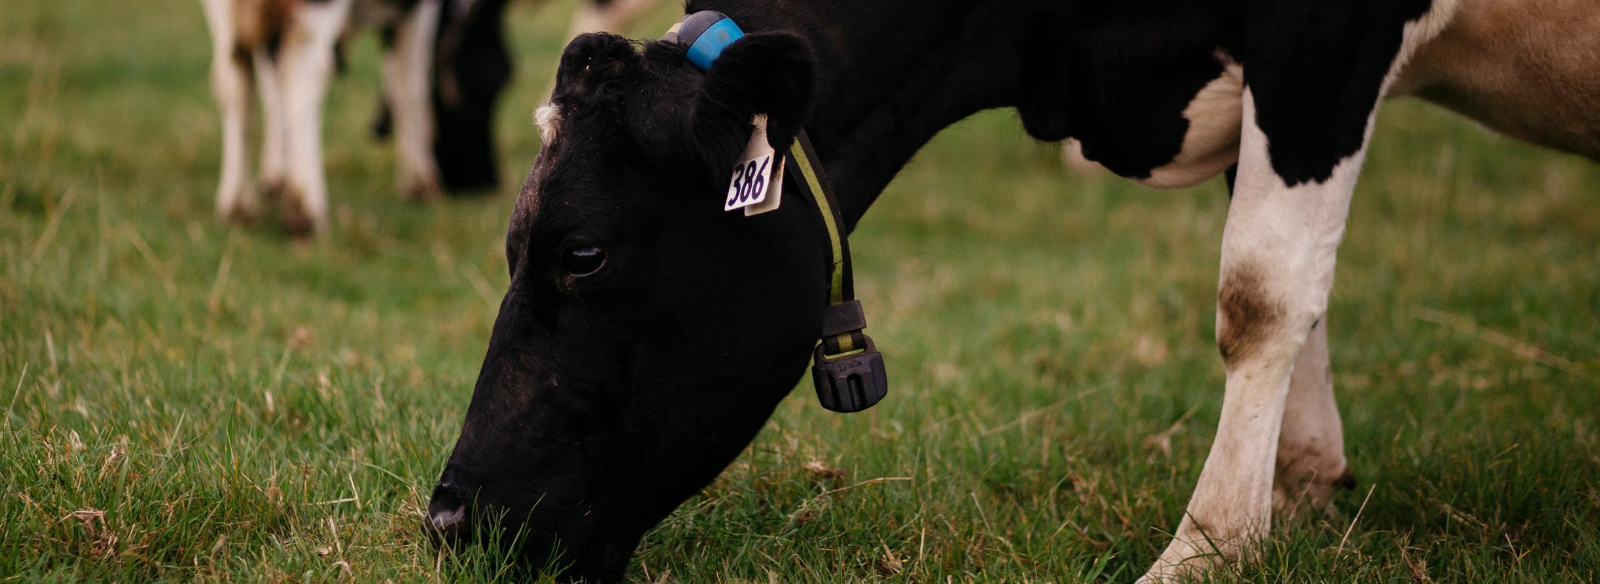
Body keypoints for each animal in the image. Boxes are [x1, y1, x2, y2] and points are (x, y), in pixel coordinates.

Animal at [425, 0, 1600, 582]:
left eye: (582, 253)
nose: (447, 518)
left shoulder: (1325, 42)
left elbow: (1262, 290)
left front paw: (1207, 548)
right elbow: (1296, 288)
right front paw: (1298, 489)